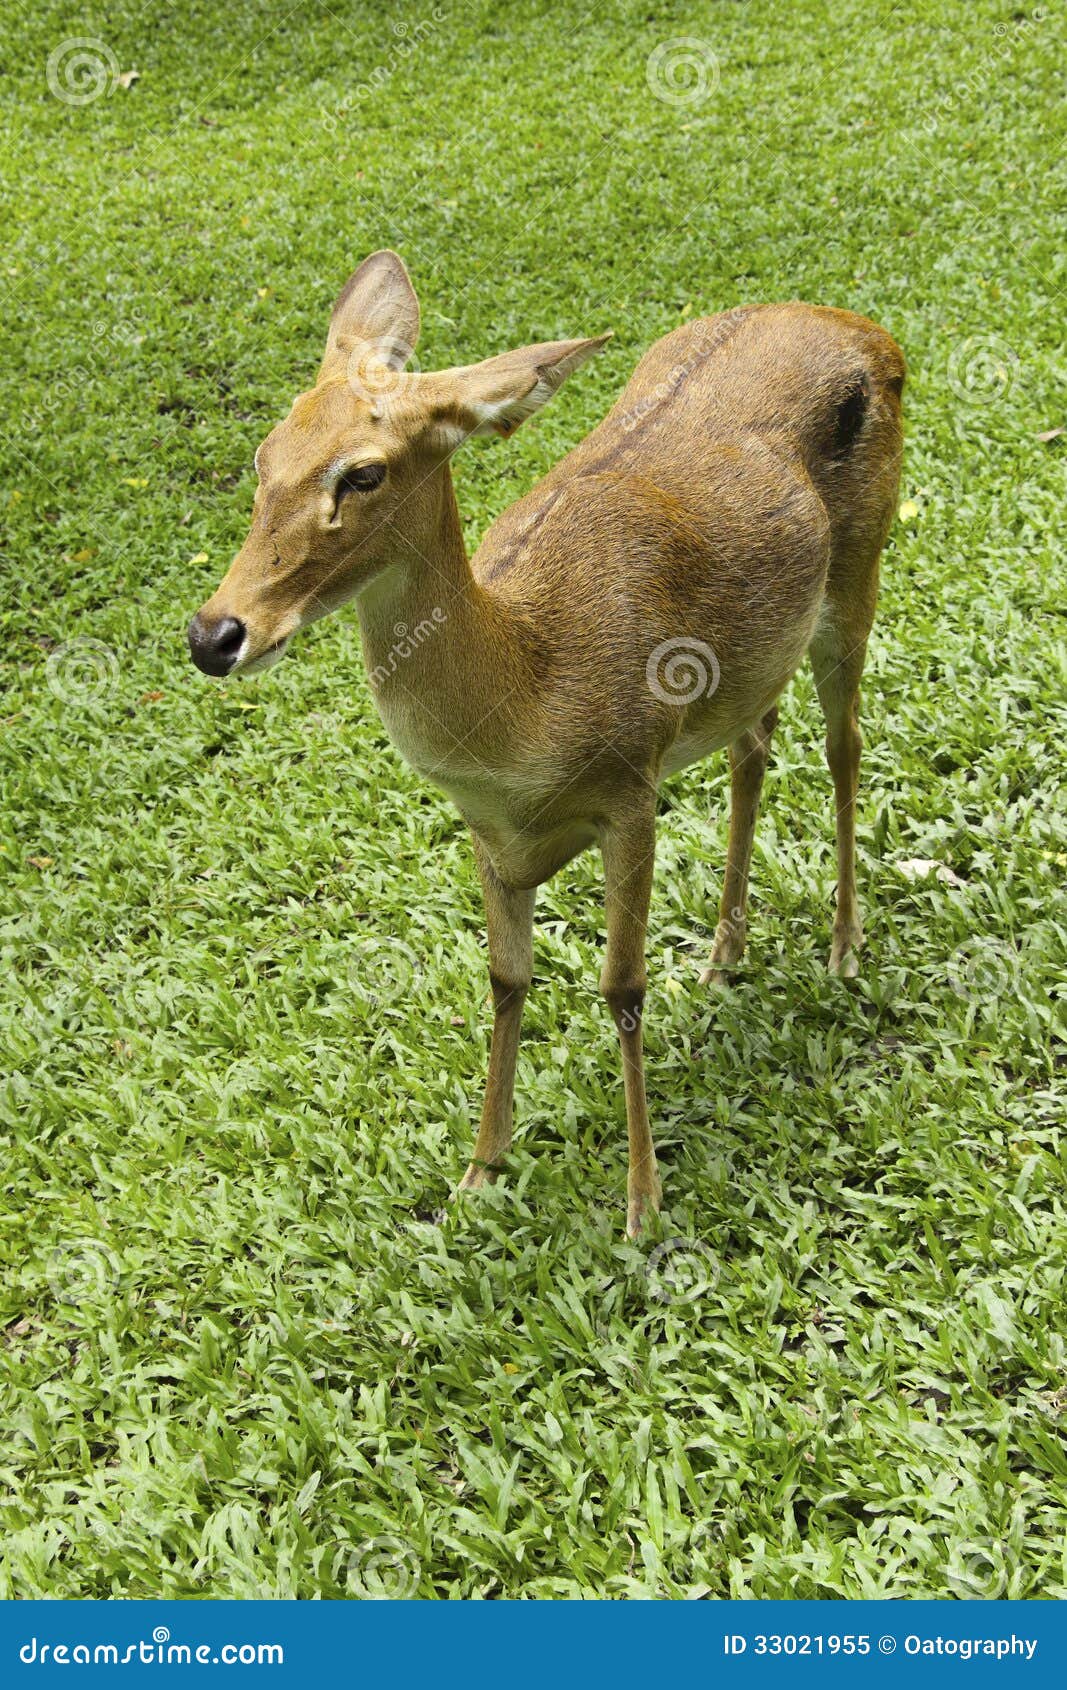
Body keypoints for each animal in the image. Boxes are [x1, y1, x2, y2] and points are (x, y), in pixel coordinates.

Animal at [187, 251, 904, 1236]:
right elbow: (504, 976)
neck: (529, 700)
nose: (215, 634)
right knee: (754, 746)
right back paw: (724, 957)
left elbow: (620, 985)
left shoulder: (631, 783)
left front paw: (642, 1207)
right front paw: (478, 1171)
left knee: (845, 744)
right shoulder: (487, 832)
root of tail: (869, 330)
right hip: (758, 657)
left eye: (363, 475)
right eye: (264, 455)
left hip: (861, 569)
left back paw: (842, 949)